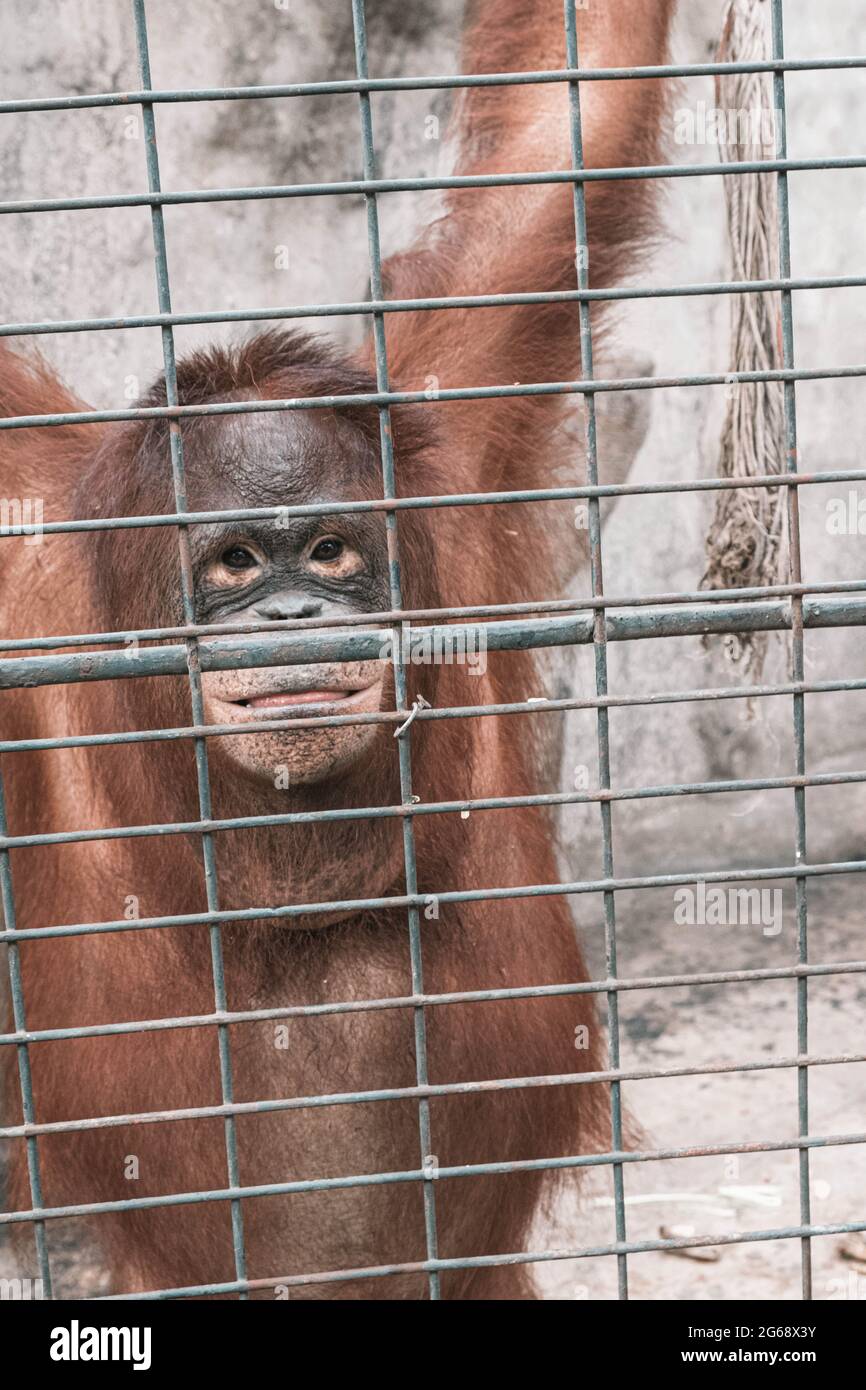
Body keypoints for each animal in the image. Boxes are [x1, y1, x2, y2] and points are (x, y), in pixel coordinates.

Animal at [0, 0, 675, 1298]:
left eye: (324, 551)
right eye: (233, 565)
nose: (292, 617)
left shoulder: (447, 451)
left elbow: (565, 133)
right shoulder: (33, 579)